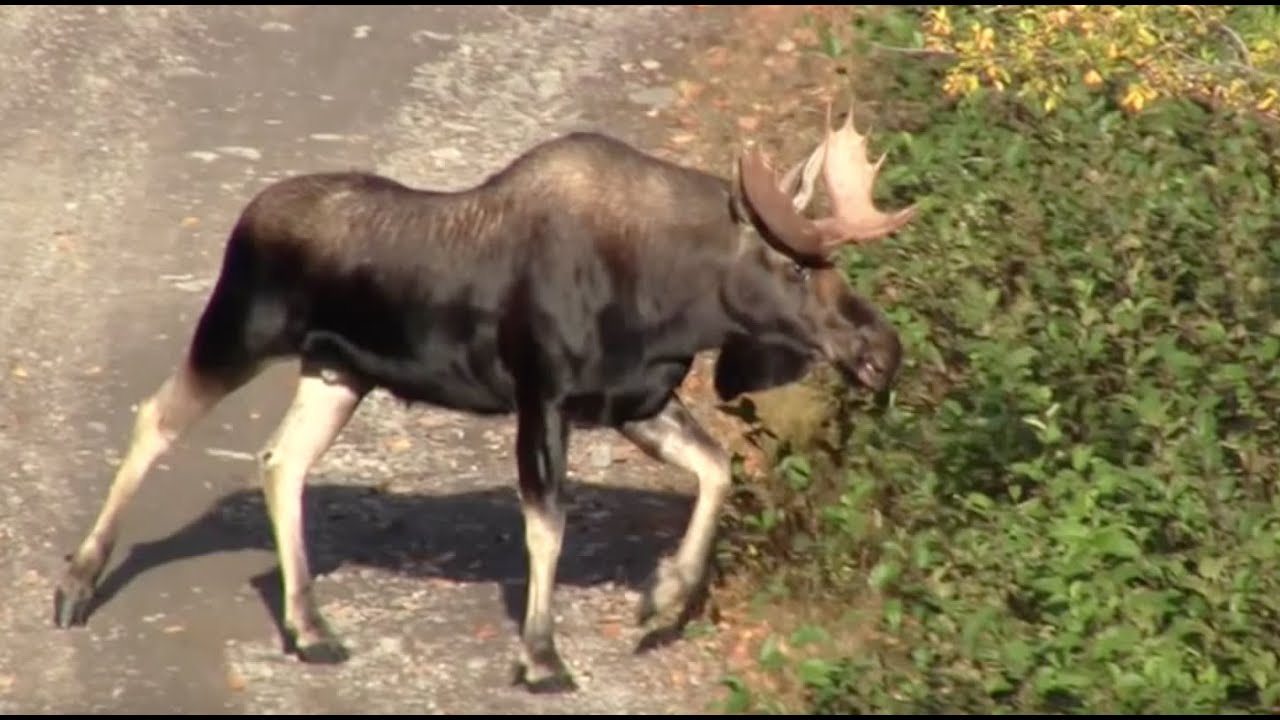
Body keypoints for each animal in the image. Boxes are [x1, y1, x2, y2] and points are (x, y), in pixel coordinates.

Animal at [52, 99, 917, 693]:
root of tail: (243, 219)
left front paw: (664, 599)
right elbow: (547, 526)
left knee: (279, 460)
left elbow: (716, 470)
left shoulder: (633, 403)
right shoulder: (543, 396)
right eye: (798, 267)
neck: (674, 300)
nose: (883, 350)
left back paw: (310, 626)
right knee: (156, 420)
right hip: (238, 331)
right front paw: (542, 656)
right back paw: (76, 583)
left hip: (337, 372)